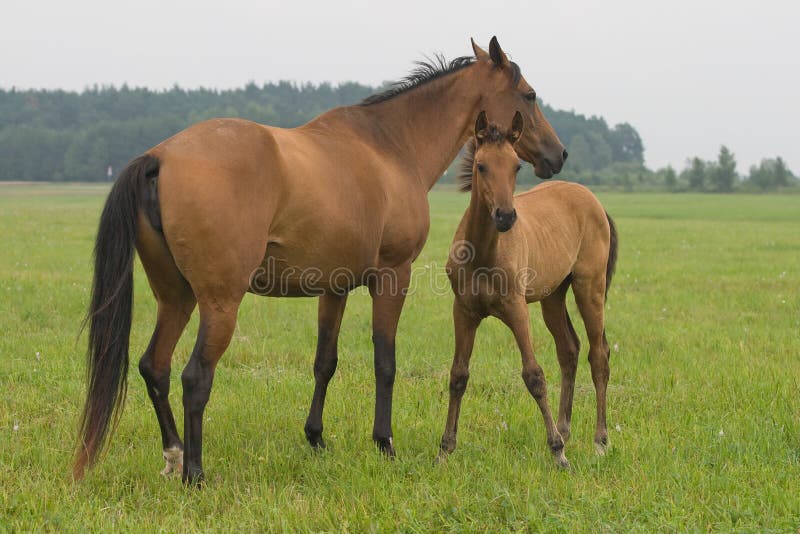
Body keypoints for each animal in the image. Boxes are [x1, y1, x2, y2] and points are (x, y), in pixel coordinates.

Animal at [73, 37, 569, 485]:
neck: (392, 147)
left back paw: (174, 456)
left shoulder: (334, 287)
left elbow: (324, 362)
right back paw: (194, 473)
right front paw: (384, 443)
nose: (558, 154)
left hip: (176, 298)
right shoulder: (393, 276)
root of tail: (159, 156)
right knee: (195, 377)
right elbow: (385, 361)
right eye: (529, 94)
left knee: (154, 367)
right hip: (218, 305)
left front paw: (316, 438)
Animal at [437, 111, 617, 467]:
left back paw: (599, 441)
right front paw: (445, 449)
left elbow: (534, 375)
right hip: (553, 297)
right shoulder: (463, 311)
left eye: (516, 167)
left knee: (598, 354)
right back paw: (565, 430)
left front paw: (558, 453)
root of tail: (594, 201)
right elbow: (458, 375)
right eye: (481, 166)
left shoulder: (516, 309)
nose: (506, 217)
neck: (483, 253)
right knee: (569, 350)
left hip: (589, 286)